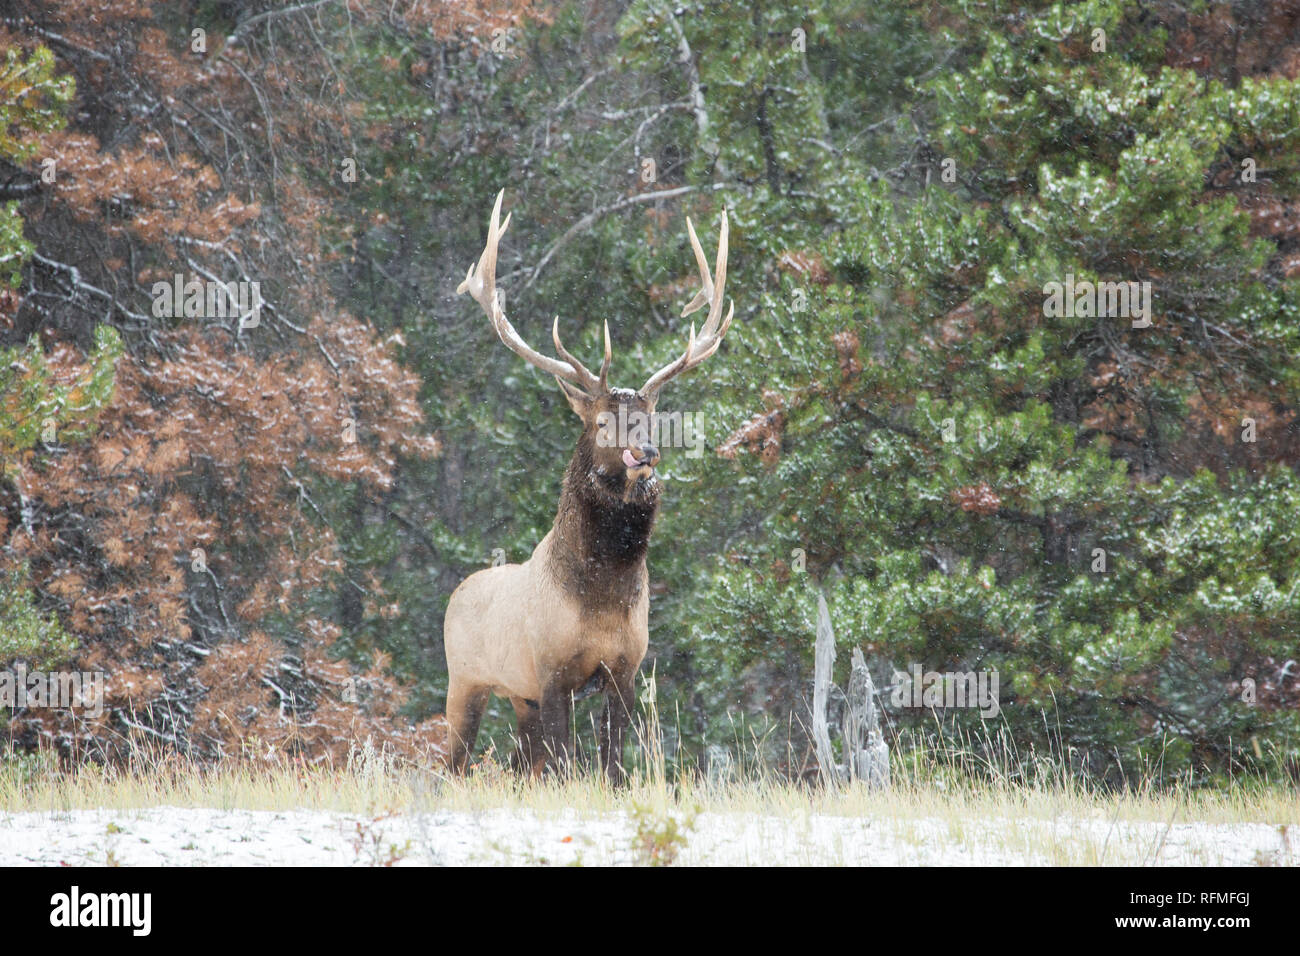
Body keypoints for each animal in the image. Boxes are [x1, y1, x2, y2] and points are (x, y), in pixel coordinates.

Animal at [444, 190, 734, 784]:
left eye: (651, 418)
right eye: (602, 421)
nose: (645, 454)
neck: (601, 597)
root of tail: (454, 596)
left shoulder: (625, 668)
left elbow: (612, 762)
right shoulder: (551, 668)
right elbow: (564, 761)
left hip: (518, 698)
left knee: (518, 762)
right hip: (464, 681)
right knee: (449, 763)